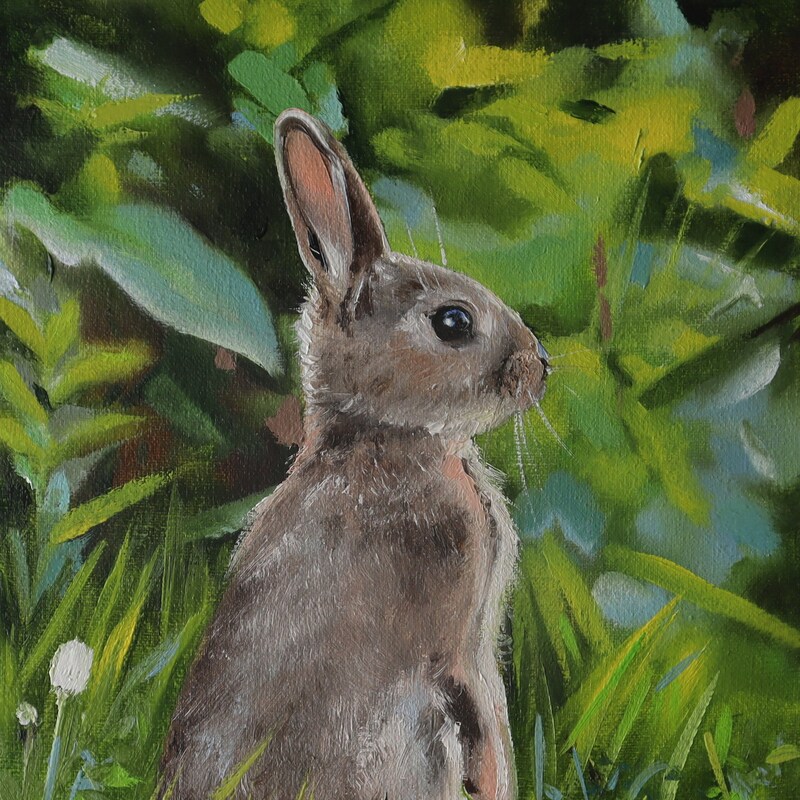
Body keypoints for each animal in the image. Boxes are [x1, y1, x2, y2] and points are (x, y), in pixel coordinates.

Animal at [159, 109, 548, 800]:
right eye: (452, 323)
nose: (541, 366)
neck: (386, 439)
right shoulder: (455, 645)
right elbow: (482, 712)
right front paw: (498, 782)